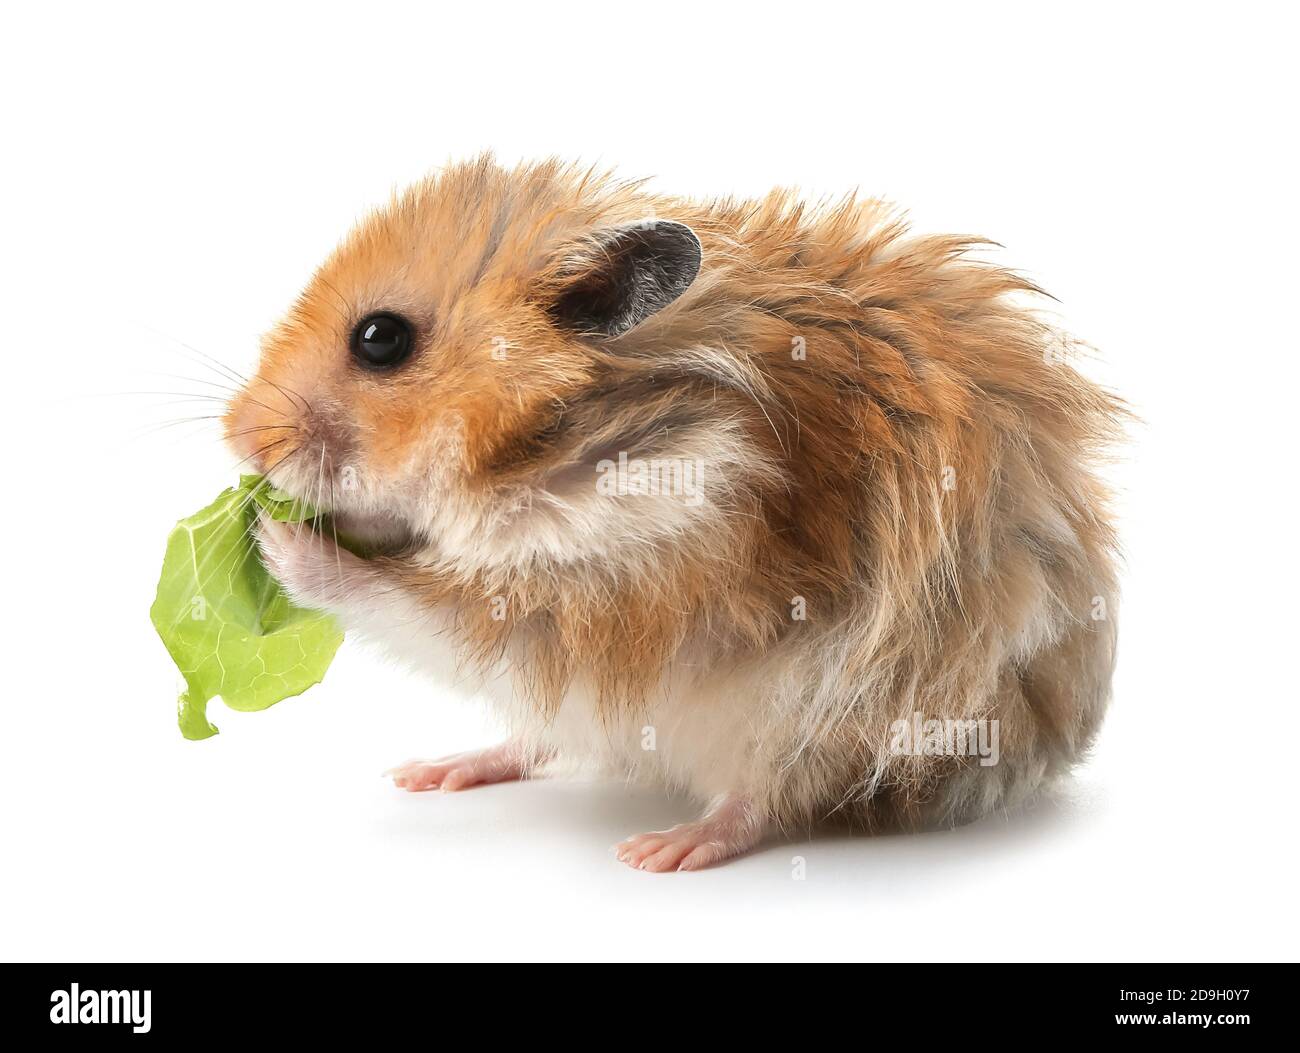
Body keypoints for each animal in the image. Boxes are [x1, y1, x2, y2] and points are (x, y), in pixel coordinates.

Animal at [226, 155, 1123, 872]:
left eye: (380, 338)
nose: (240, 441)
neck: (565, 433)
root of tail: (1052, 743)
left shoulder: (625, 583)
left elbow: (424, 606)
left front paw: (277, 538)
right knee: (541, 737)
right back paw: (434, 771)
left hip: (826, 717)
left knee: (766, 797)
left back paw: (664, 850)